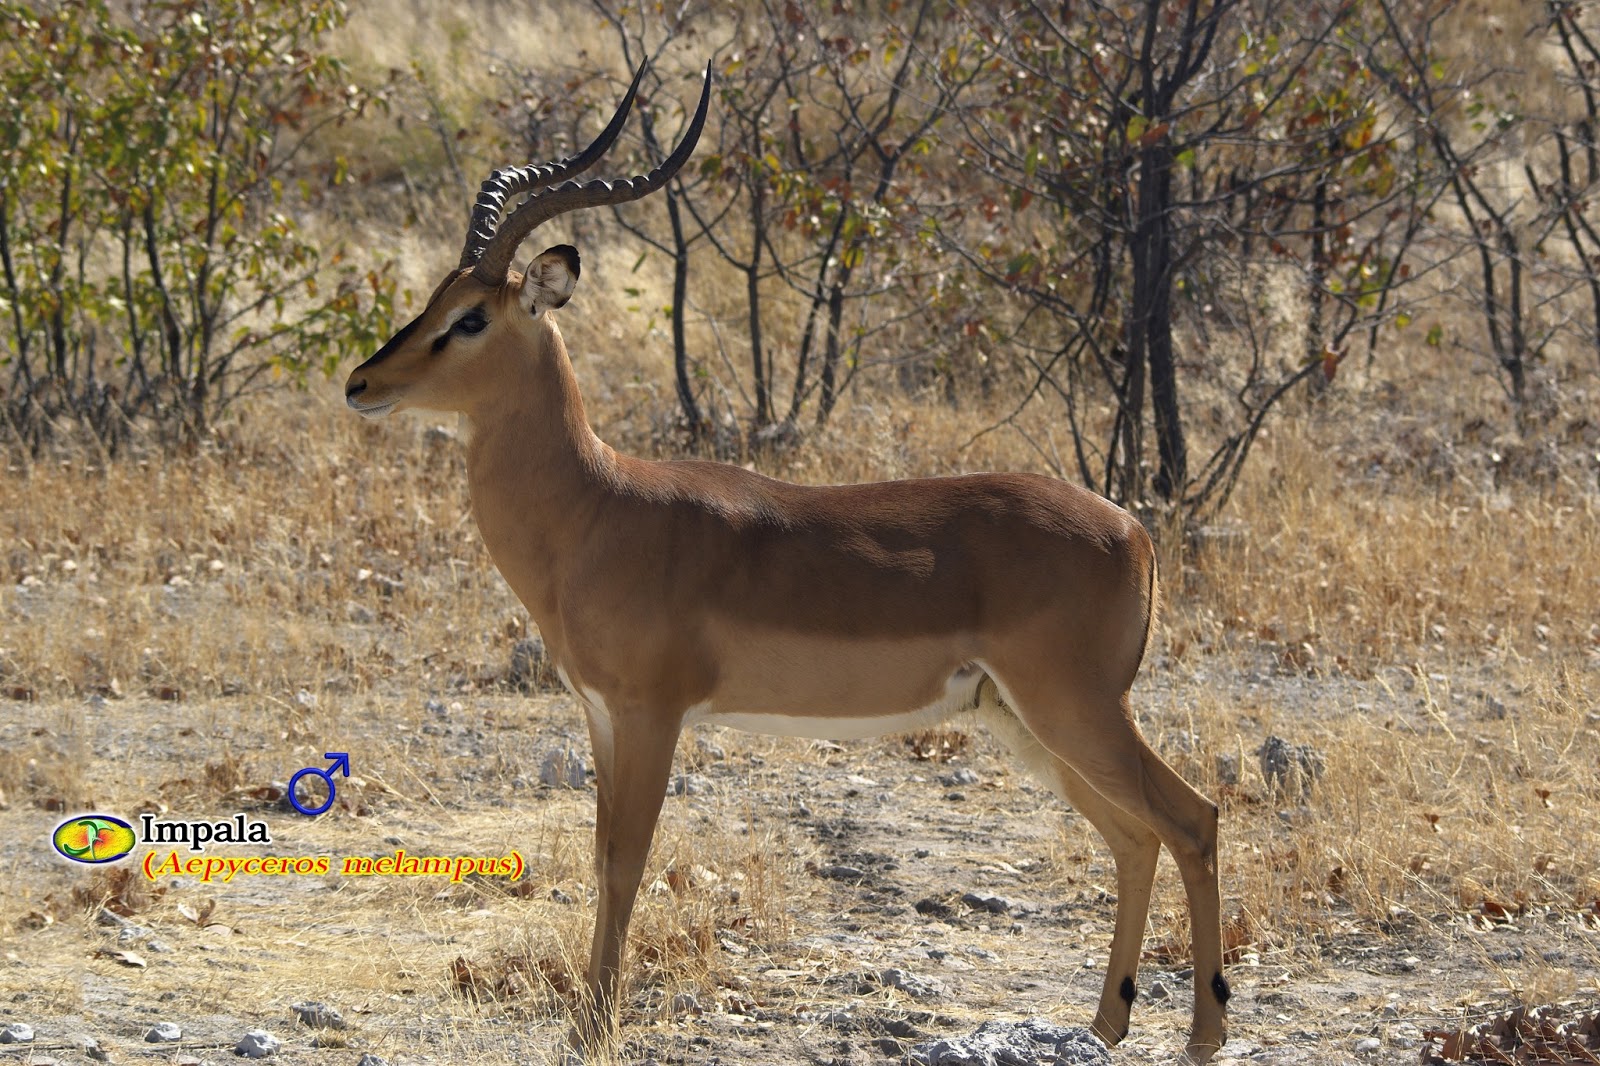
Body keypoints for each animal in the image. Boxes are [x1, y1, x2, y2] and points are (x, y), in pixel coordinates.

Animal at [343, 63, 1228, 1063]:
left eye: (470, 318)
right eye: (434, 294)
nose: (362, 383)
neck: (598, 509)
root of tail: (1136, 530)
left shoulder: (652, 715)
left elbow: (626, 860)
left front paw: (597, 1024)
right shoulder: (602, 716)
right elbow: (603, 852)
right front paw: (586, 1014)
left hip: (1075, 708)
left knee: (1193, 819)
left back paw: (1201, 1036)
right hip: (1027, 720)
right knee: (1135, 837)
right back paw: (1107, 1023)